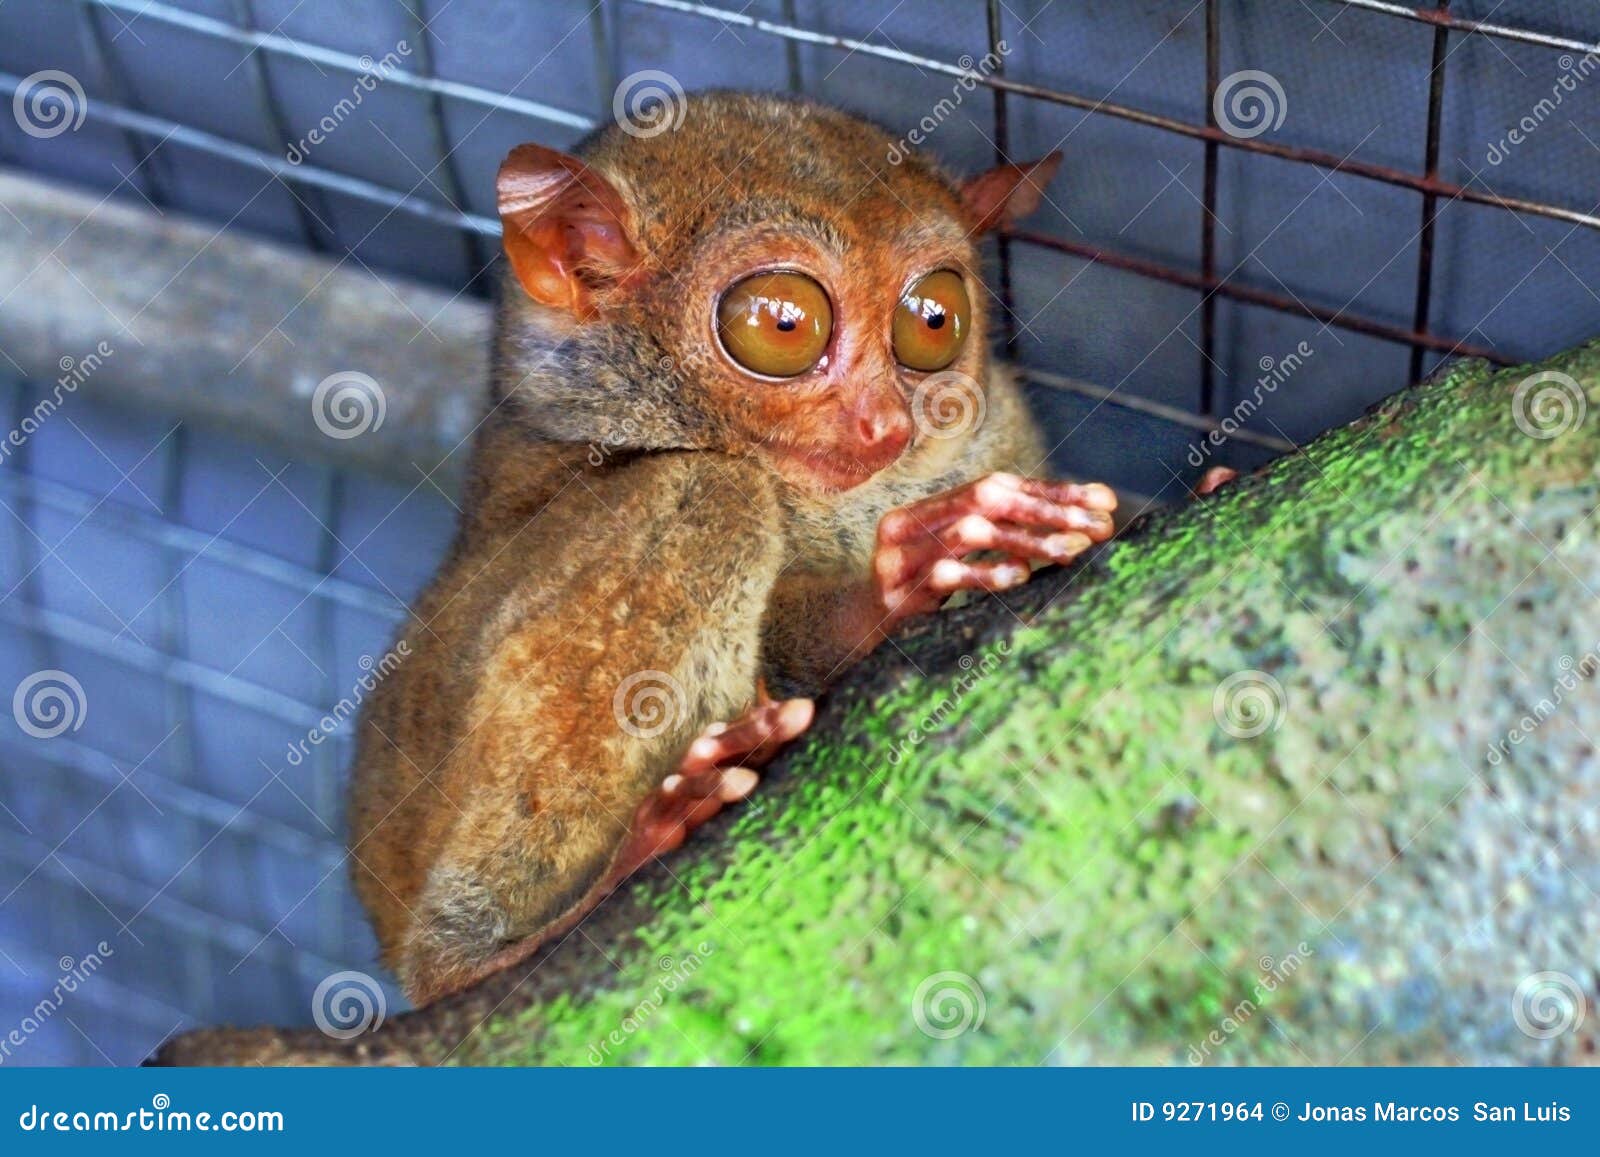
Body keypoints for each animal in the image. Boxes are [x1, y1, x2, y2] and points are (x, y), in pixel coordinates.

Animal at [347, 92, 1119, 1006]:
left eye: (934, 320)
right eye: (782, 324)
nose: (884, 425)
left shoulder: (1003, 426)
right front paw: (910, 573)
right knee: (709, 492)